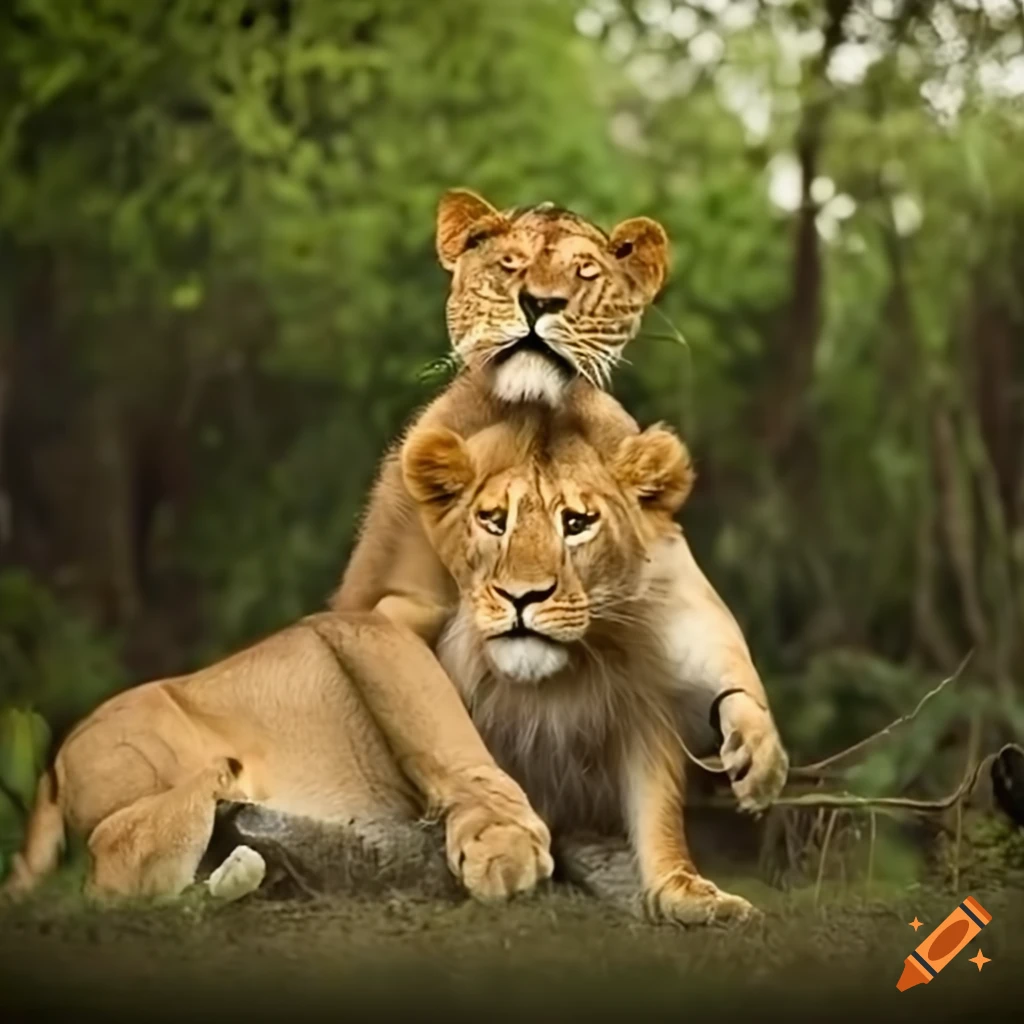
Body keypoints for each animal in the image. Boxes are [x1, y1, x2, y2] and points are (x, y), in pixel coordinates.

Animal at [333, 188, 789, 820]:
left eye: (585, 272)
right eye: (510, 265)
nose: (540, 301)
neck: (534, 407)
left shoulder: (663, 563)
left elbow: (712, 640)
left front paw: (760, 750)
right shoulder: (397, 586)